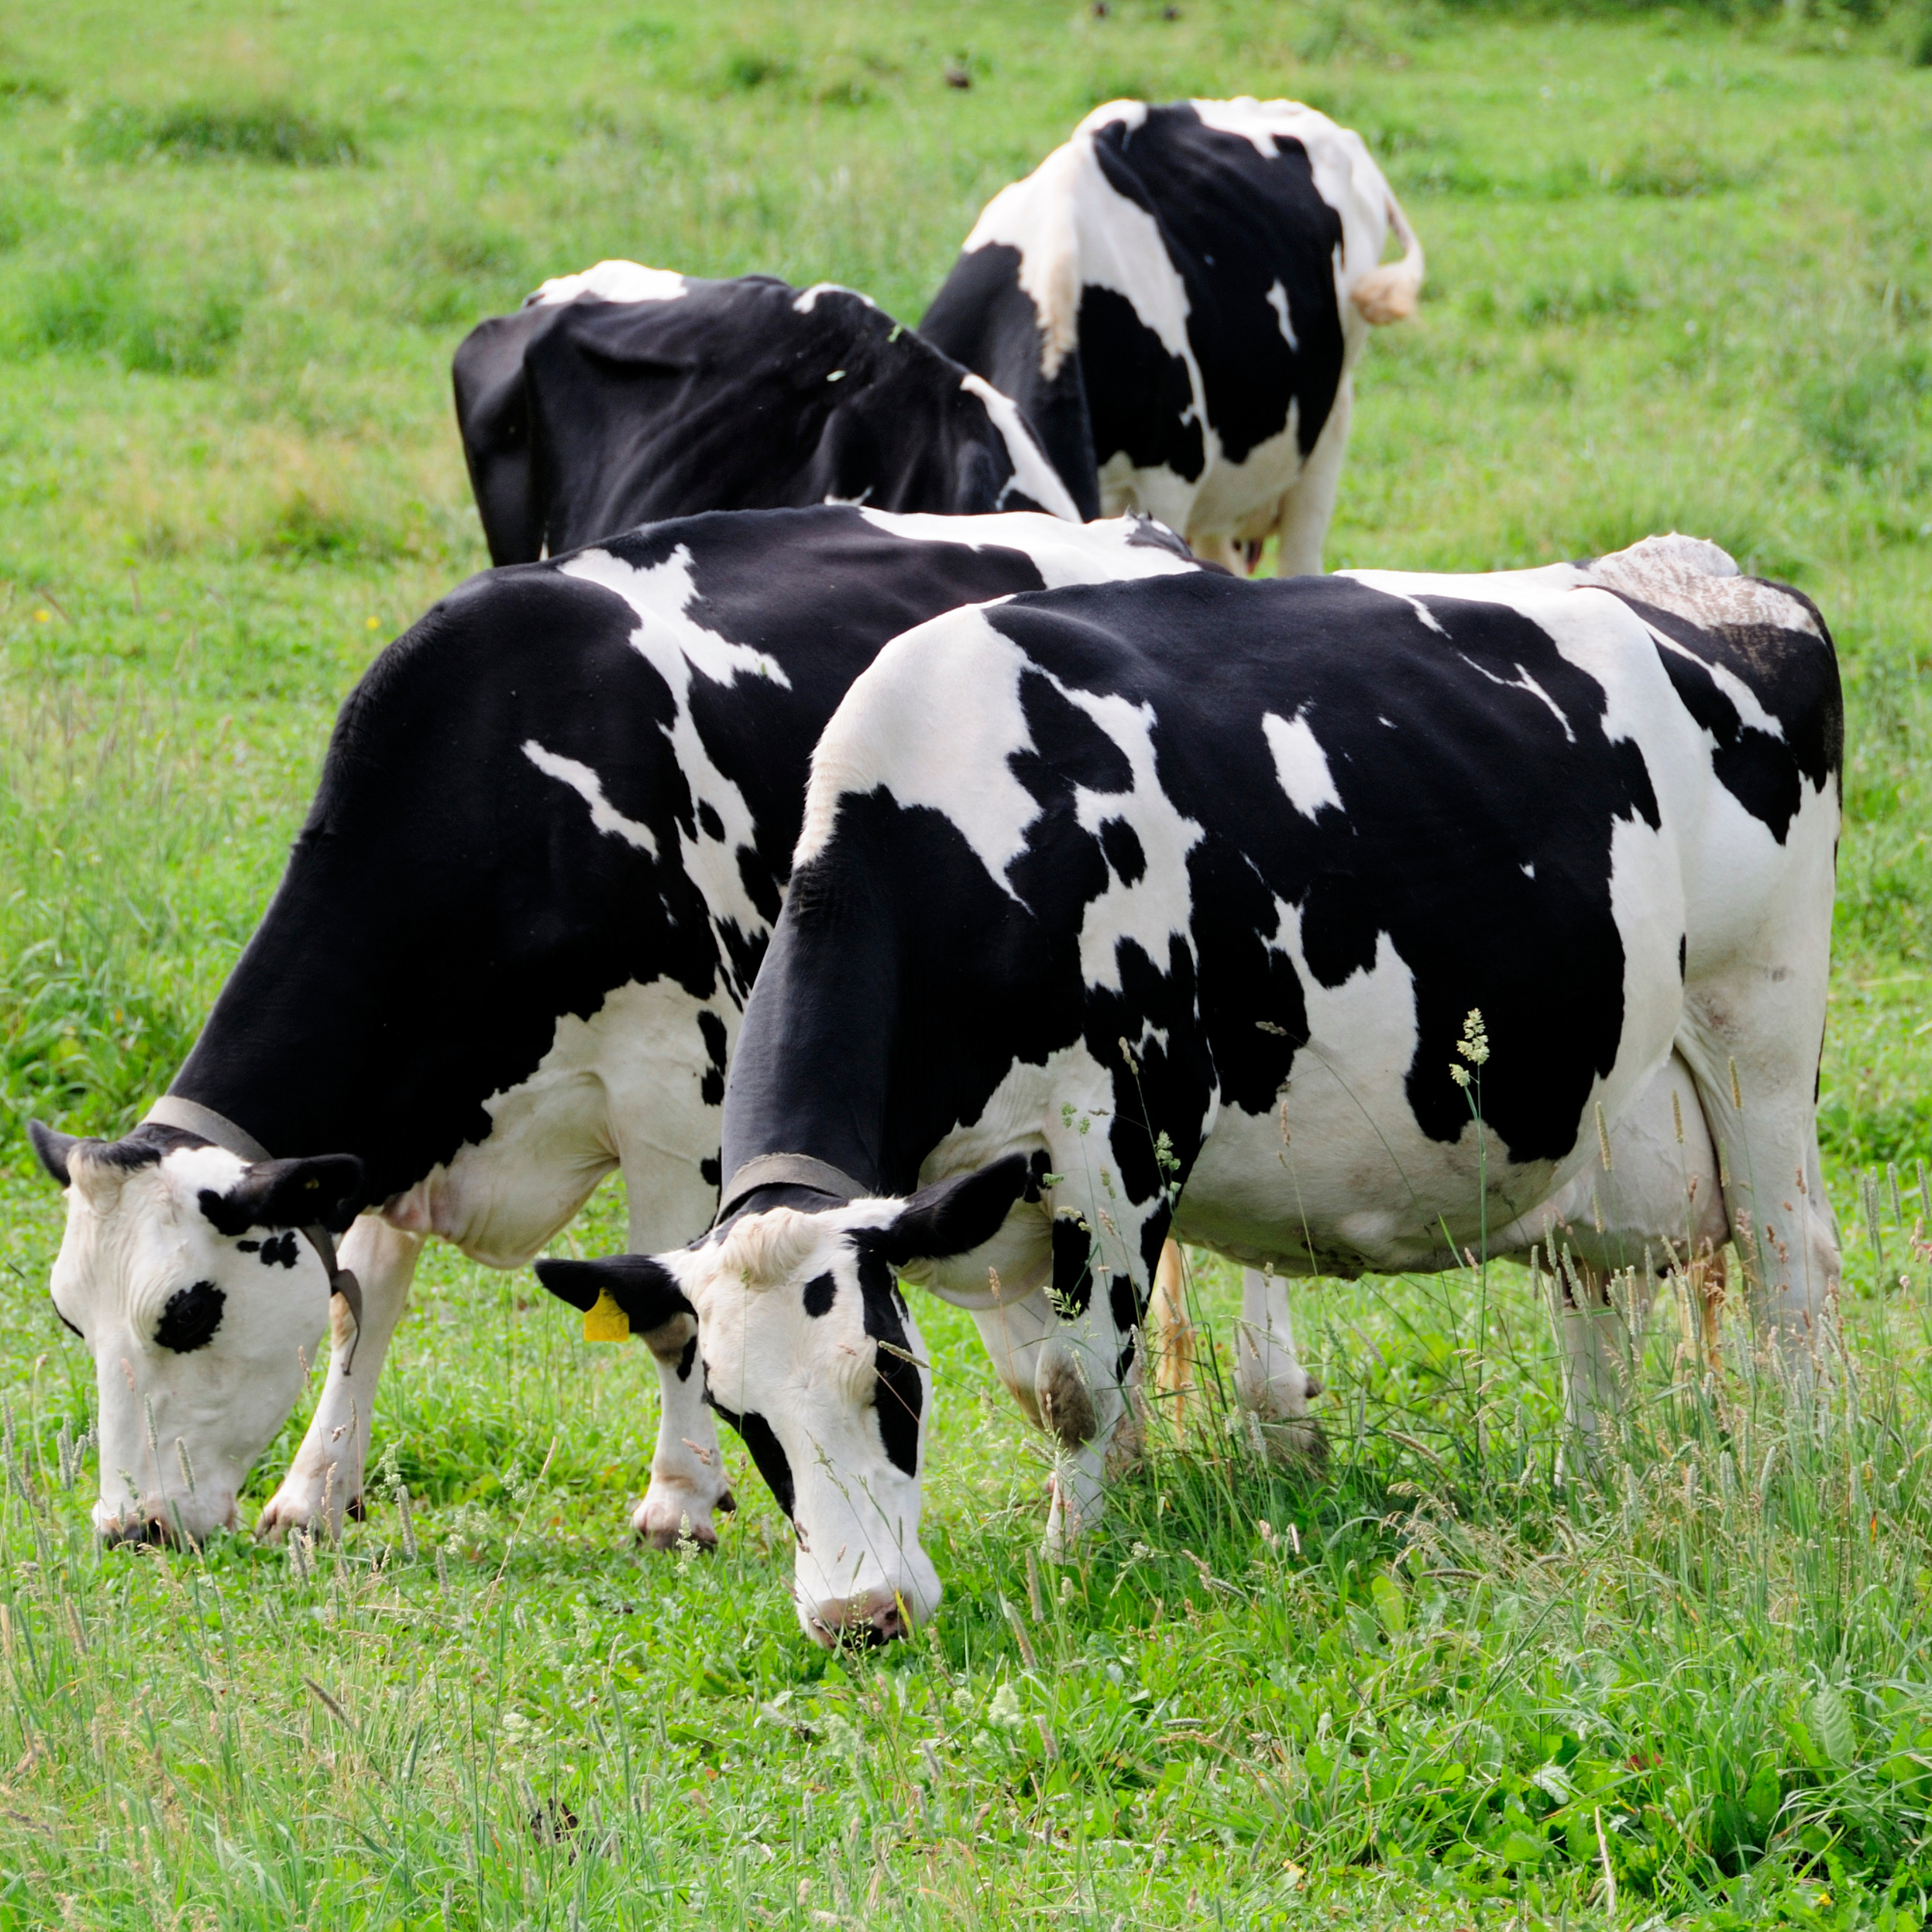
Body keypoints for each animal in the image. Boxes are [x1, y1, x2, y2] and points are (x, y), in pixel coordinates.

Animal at [26, 505, 1199, 1549]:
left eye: (186, 1313)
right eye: (72, 1319)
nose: (129, 1526)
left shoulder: (676, 1098)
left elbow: (670, 1311)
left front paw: (679, 1501)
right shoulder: (403, 1115)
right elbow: (363, 1300)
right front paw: (314, 1491)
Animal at [544, 534, 1842, 1645]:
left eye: (893, 1377)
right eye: (735, 1412)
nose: (860, 1618)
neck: (973, 826)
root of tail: (1698, 575)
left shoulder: (1126, 1126)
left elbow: (1073, 1383)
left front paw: (1067, 1558)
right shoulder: (967, 1198)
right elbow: (1046, 1384)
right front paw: (1118, 1507)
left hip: (1759, 1030)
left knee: (1791, 1268)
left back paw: (1804, 1458)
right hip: (1586, 1114)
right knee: (1588, 1303)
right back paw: (1591, 1474)